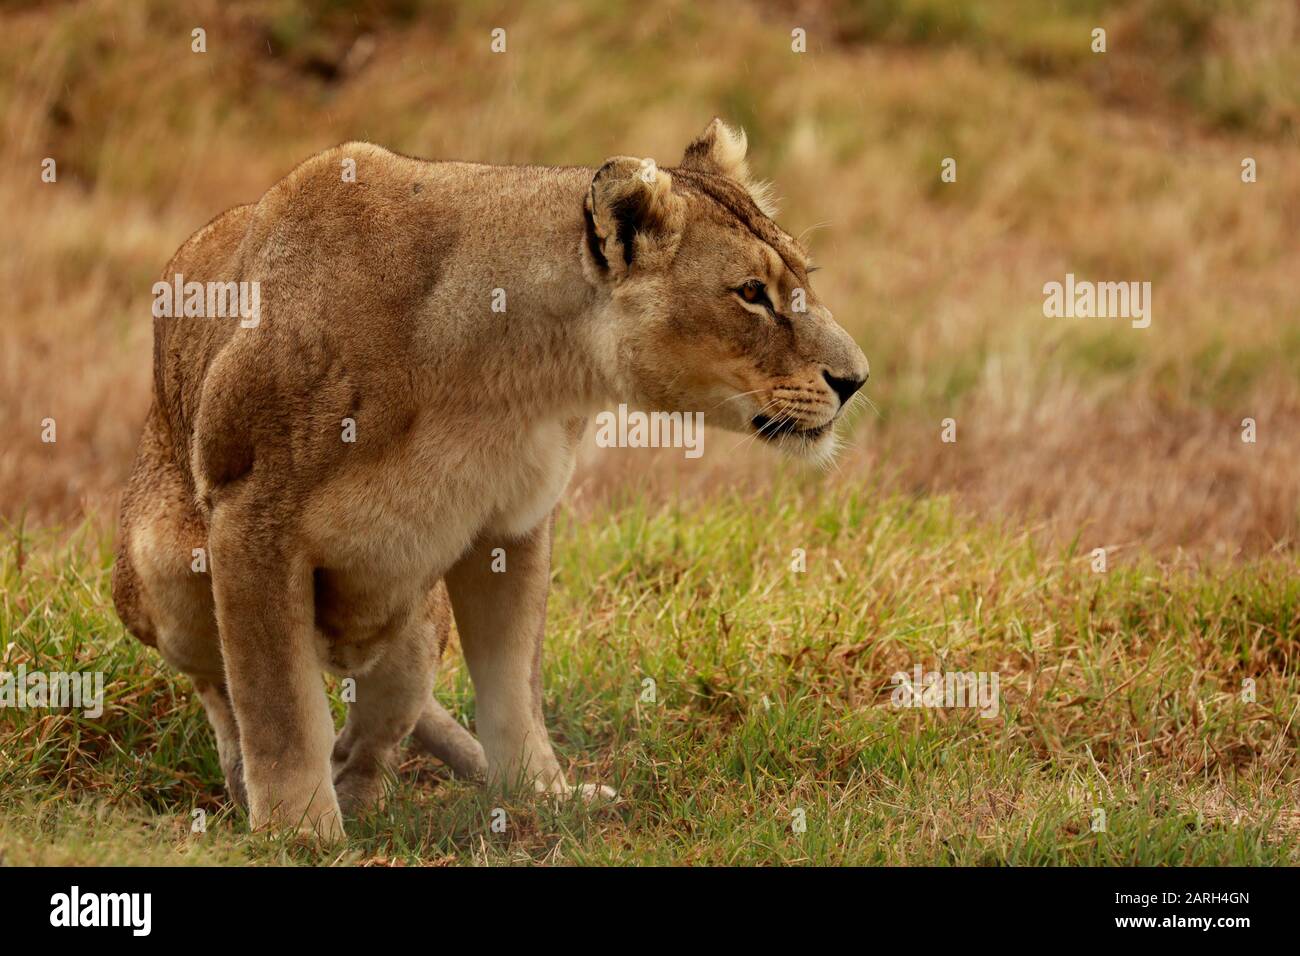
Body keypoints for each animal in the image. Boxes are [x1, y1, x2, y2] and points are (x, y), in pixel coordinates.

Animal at [111, 119, 870, 839]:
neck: (510, 375)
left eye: (805, 277)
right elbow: (277, 707)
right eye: (751, 294)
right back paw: (252, 783)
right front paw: (299, 832)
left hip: (416, 625)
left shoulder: (513, 523)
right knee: (223, 686)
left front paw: (542, 796)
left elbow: (512, 684)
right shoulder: (250, 514)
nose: (856, 380)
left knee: (383, 716)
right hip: (164, 566)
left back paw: (359, 793)